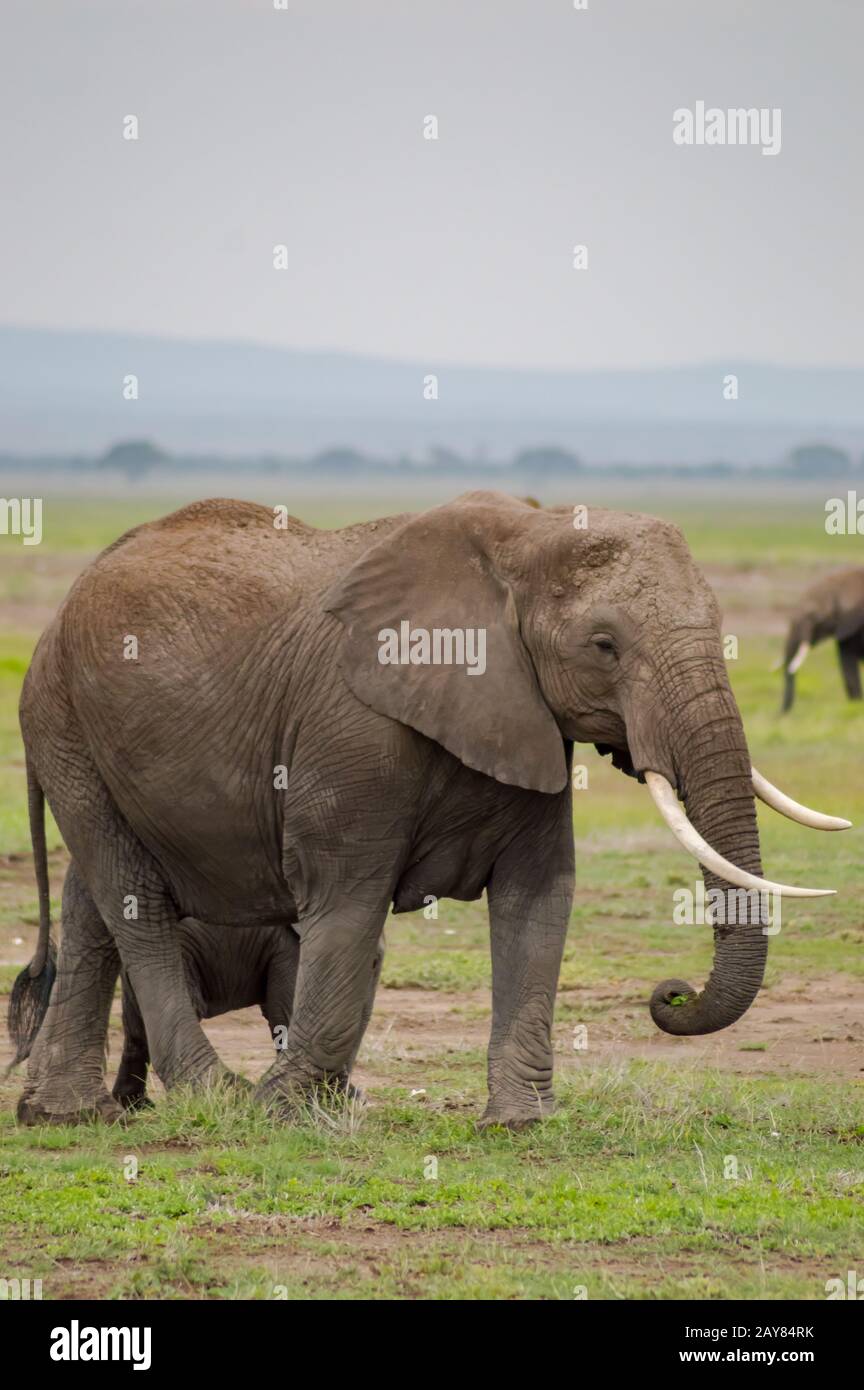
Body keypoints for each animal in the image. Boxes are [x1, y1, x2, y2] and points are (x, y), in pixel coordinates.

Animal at [11, 492, 848, 1129]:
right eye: (604, 645)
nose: (669, 996)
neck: (528, 535)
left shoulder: (527, 720)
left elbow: (539, 901)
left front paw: (518, 1124)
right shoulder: (350, 730)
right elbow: (347, 906)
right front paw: (285, 1111)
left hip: (84, 734)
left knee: (95, 898)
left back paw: (64, 1114)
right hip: (63, 720)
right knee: (135, 902)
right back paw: (215, 1098)